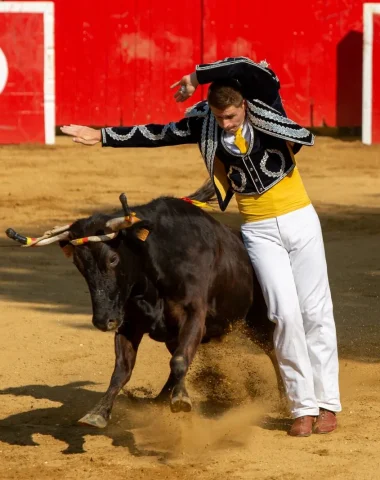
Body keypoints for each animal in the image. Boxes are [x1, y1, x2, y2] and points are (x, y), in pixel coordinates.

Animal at [7, 183, 280, 428]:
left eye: (113, 258)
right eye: (79, 265)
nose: (103, 321)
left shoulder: (194, 315)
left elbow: (180, 359)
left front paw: (181, 399)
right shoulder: (129, 325)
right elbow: (122, 370)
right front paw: (98, 413)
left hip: (259, 322)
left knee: (274, 352)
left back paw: (284, 403)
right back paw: (159, 400)